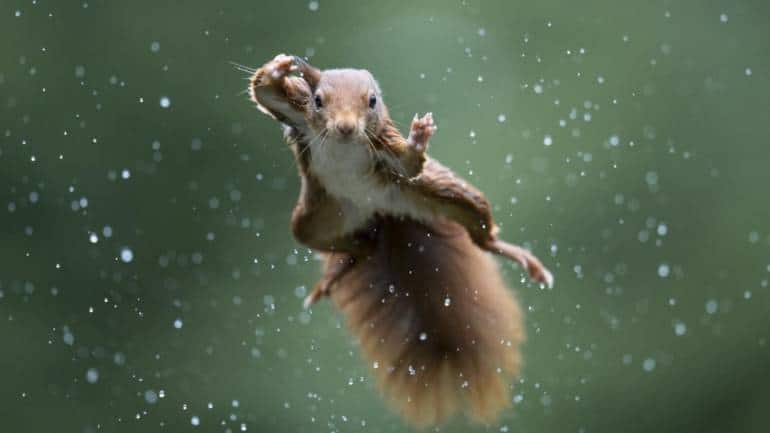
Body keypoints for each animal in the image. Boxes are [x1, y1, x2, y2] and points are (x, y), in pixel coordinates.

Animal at [247, 54, 554, 426]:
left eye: (372, 101)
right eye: (318, 100)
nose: (346, 128)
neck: (346, 145)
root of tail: (380, 214)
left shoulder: (385, 147)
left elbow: (409, 163)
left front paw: (419, 136)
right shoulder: (298, 113)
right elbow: (263, 91)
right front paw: (279, 68)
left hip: (442, 193)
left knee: (480, 232)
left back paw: (523, 258)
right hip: (315, 219)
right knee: (352, 245)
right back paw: (336, 274)